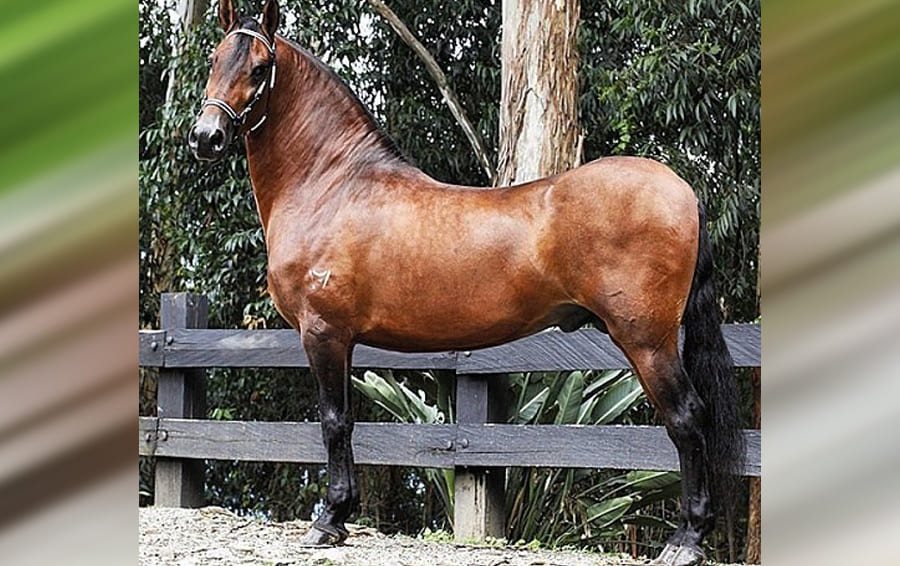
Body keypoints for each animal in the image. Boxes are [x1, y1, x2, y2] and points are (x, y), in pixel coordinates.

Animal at [188, 2, 743, 564]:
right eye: (213, 59)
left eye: (260, 68)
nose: (206, 137)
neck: (333, 186)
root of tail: (682, 190)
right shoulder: (343, 341)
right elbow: (345, 421)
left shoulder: (323, 333)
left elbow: (333, 421)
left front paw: (329, 522)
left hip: (647, 340)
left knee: (687, 419)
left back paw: (687, 540)